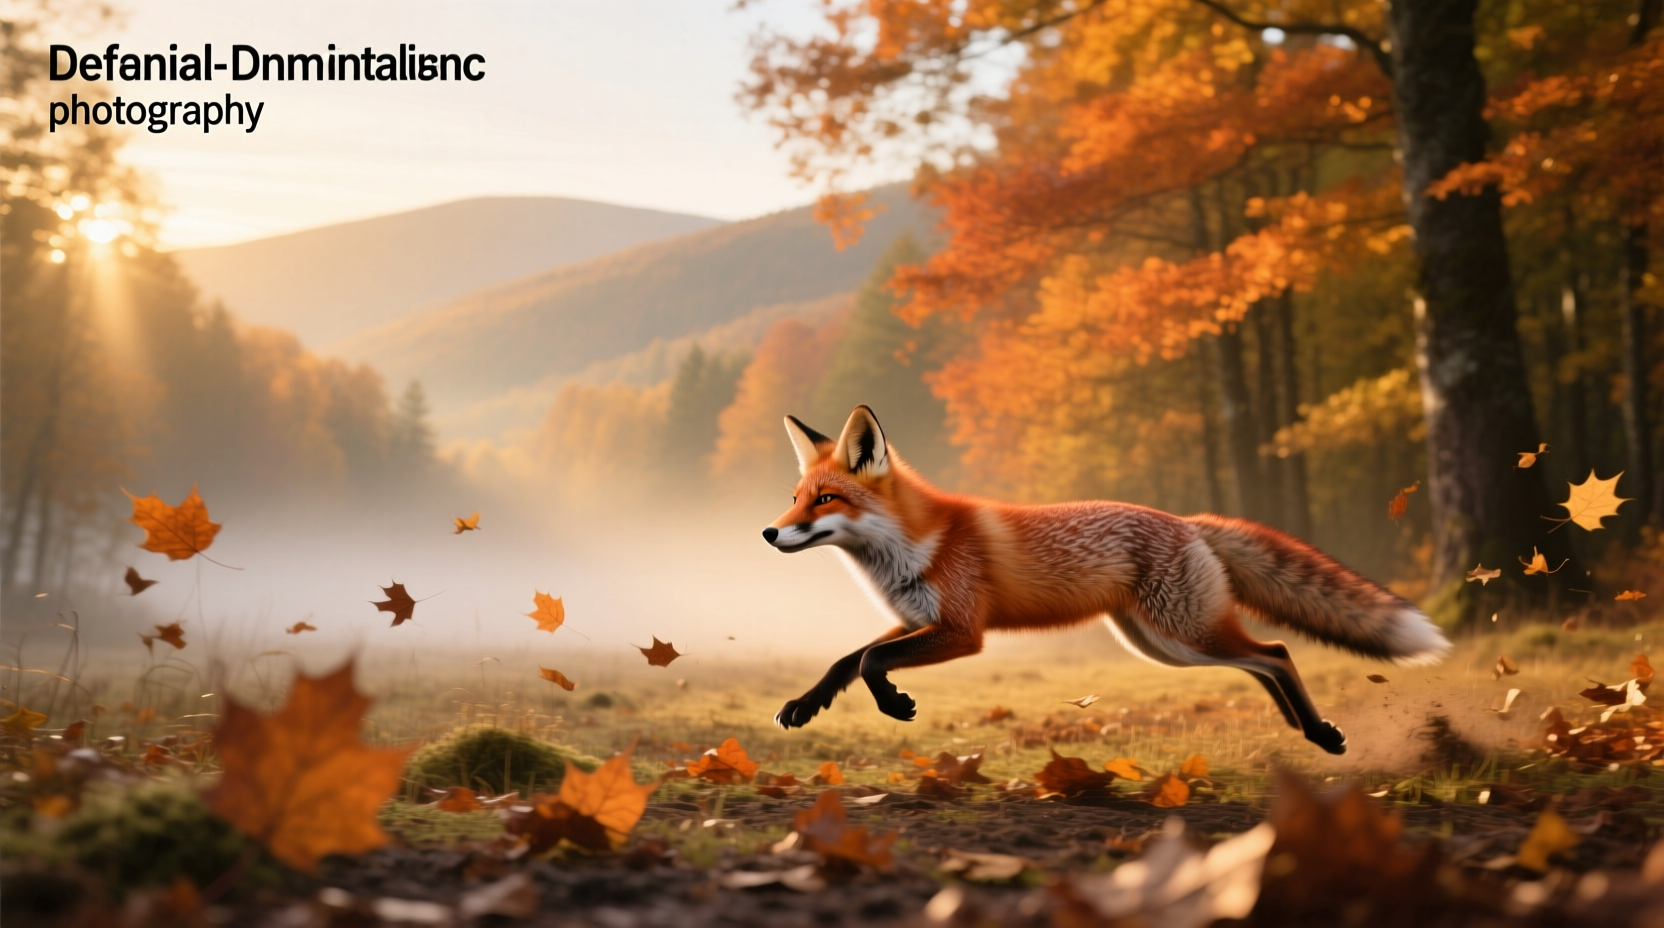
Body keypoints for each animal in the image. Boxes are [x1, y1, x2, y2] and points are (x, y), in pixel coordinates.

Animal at [761, 405, 1450, 755]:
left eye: (825, 499)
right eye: (795, 499)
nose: (769, 533)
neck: (910, 549)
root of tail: (1187, 521)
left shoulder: (961, 631)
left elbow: (871, 661)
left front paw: (895, 704)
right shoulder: (915, 620)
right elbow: (847, 660)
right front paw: (806, 705)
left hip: (1182, 636)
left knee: (1276, 652)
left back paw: (1318, 732)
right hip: (1162, 645)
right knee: (1265, 659)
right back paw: (1303, 729)